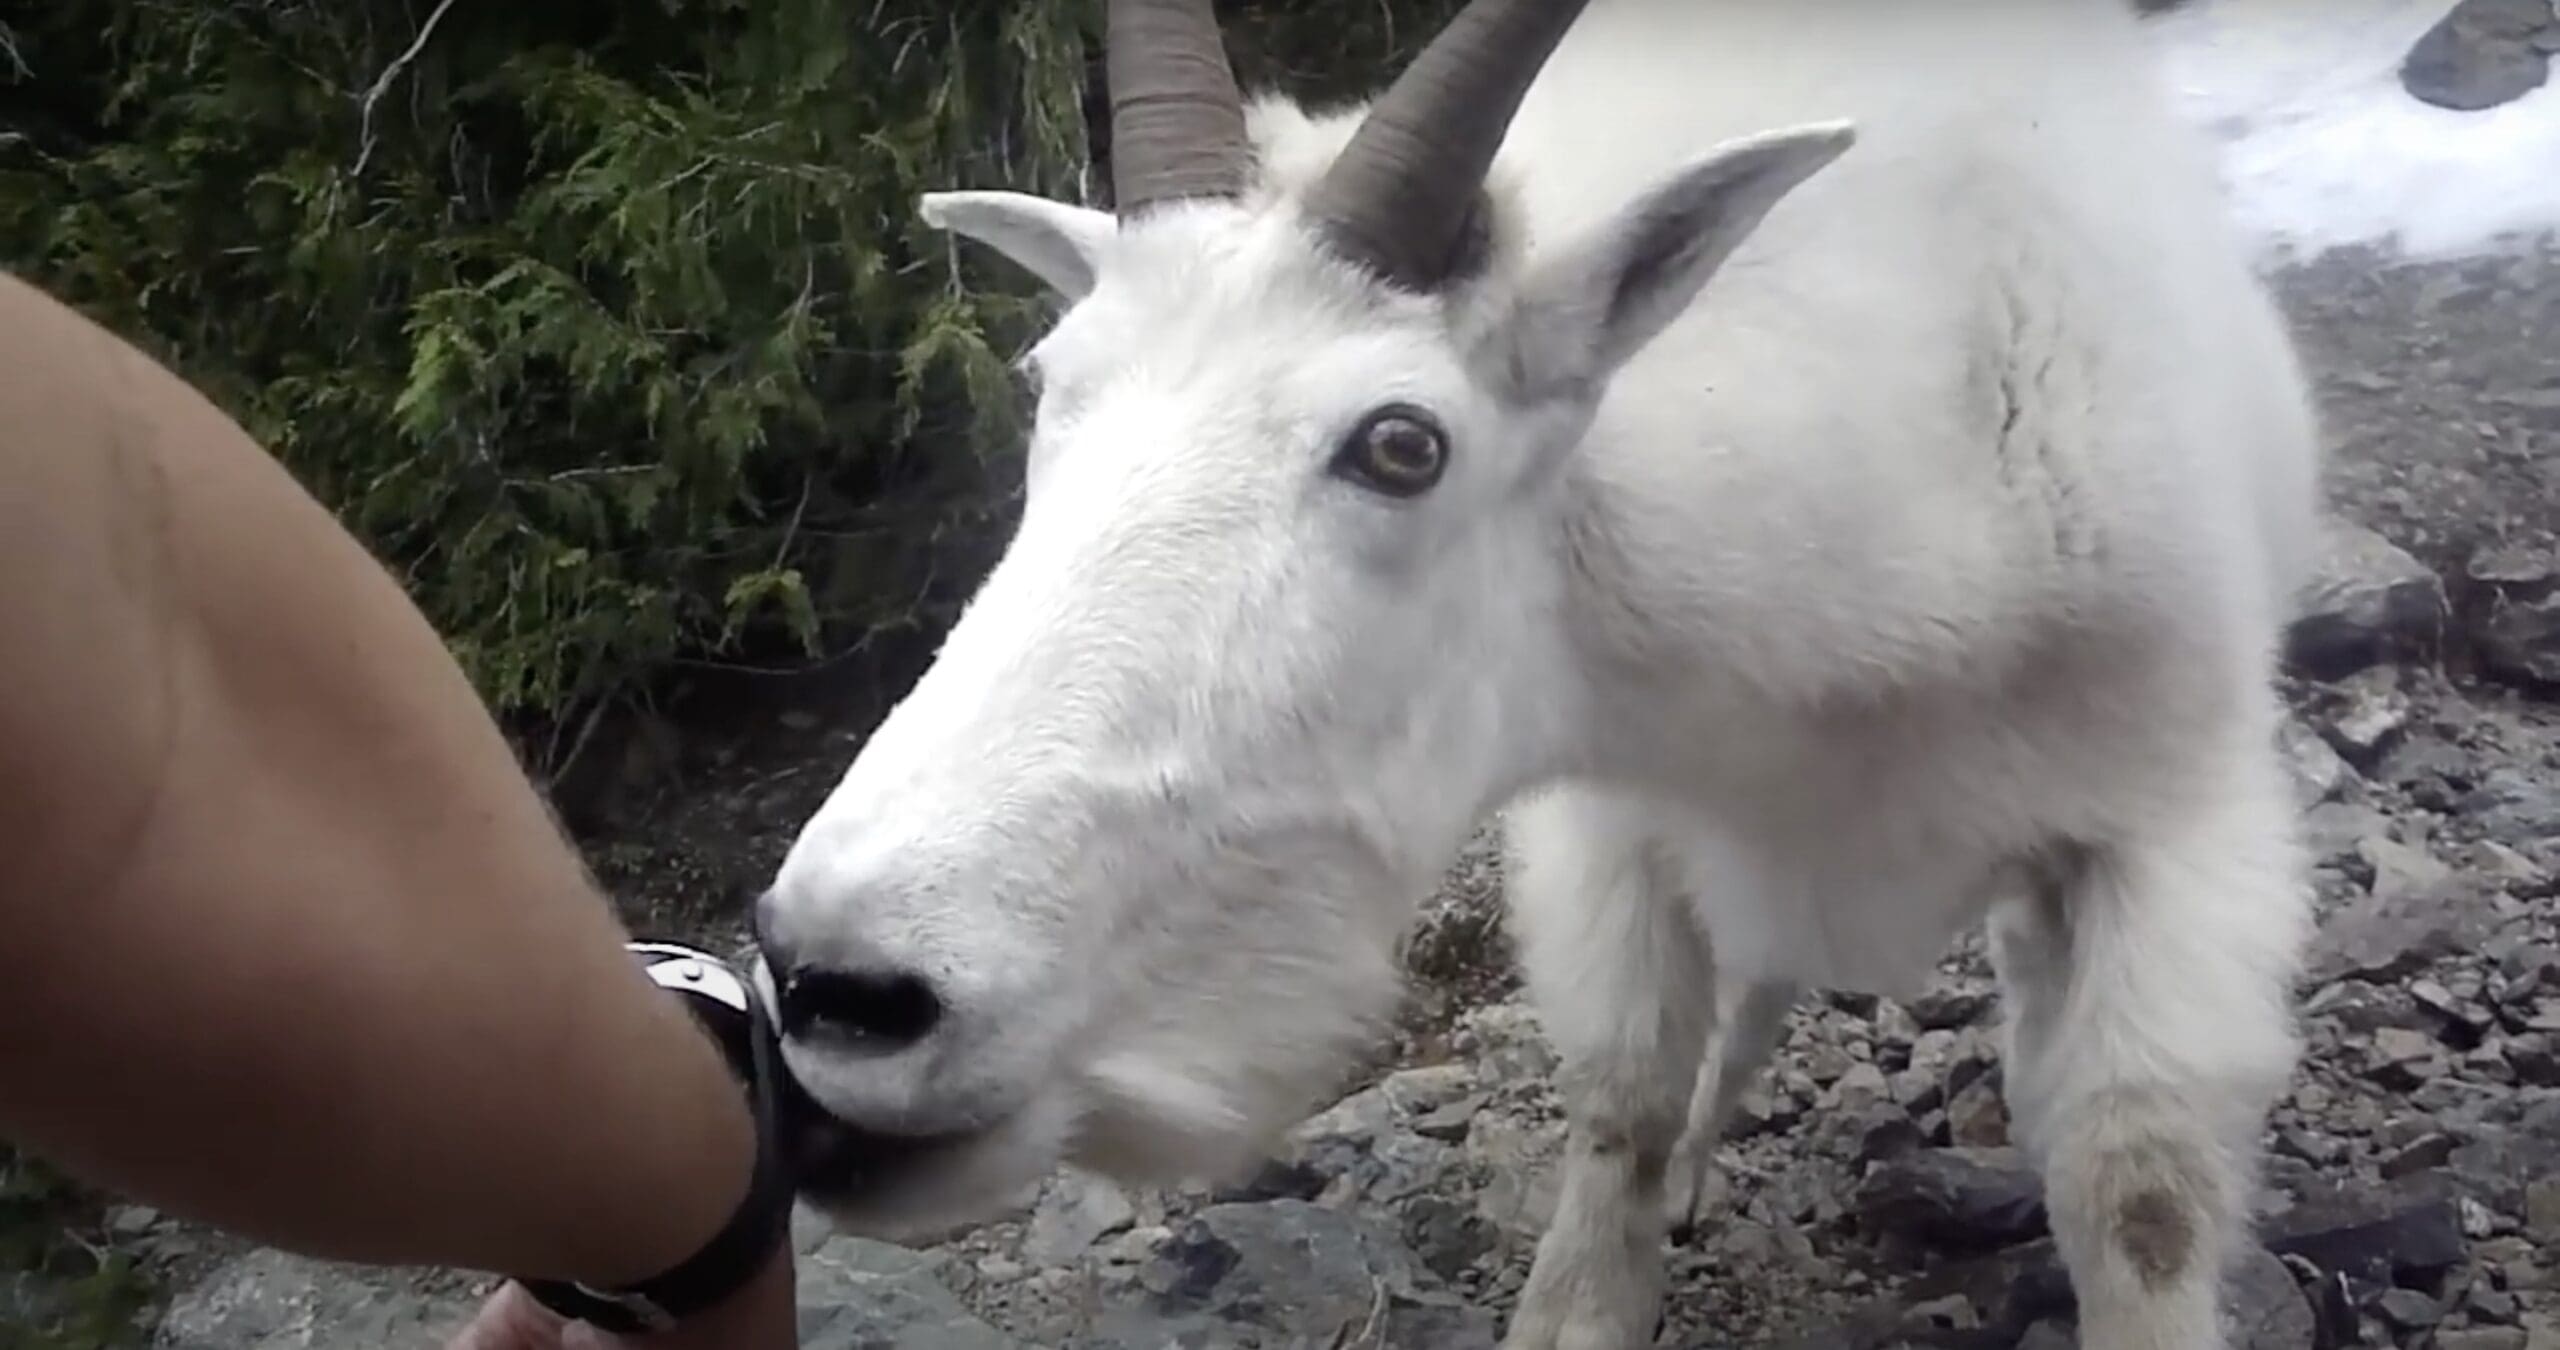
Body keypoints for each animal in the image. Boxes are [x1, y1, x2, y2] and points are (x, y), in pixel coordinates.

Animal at [752, 2, 2324, 1346]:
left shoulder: (2170, 822)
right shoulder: (1619, 822)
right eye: (1048, 383)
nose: (838, 994)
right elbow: (1624, 1094)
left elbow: (2138, 1188)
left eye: (1404, 443)